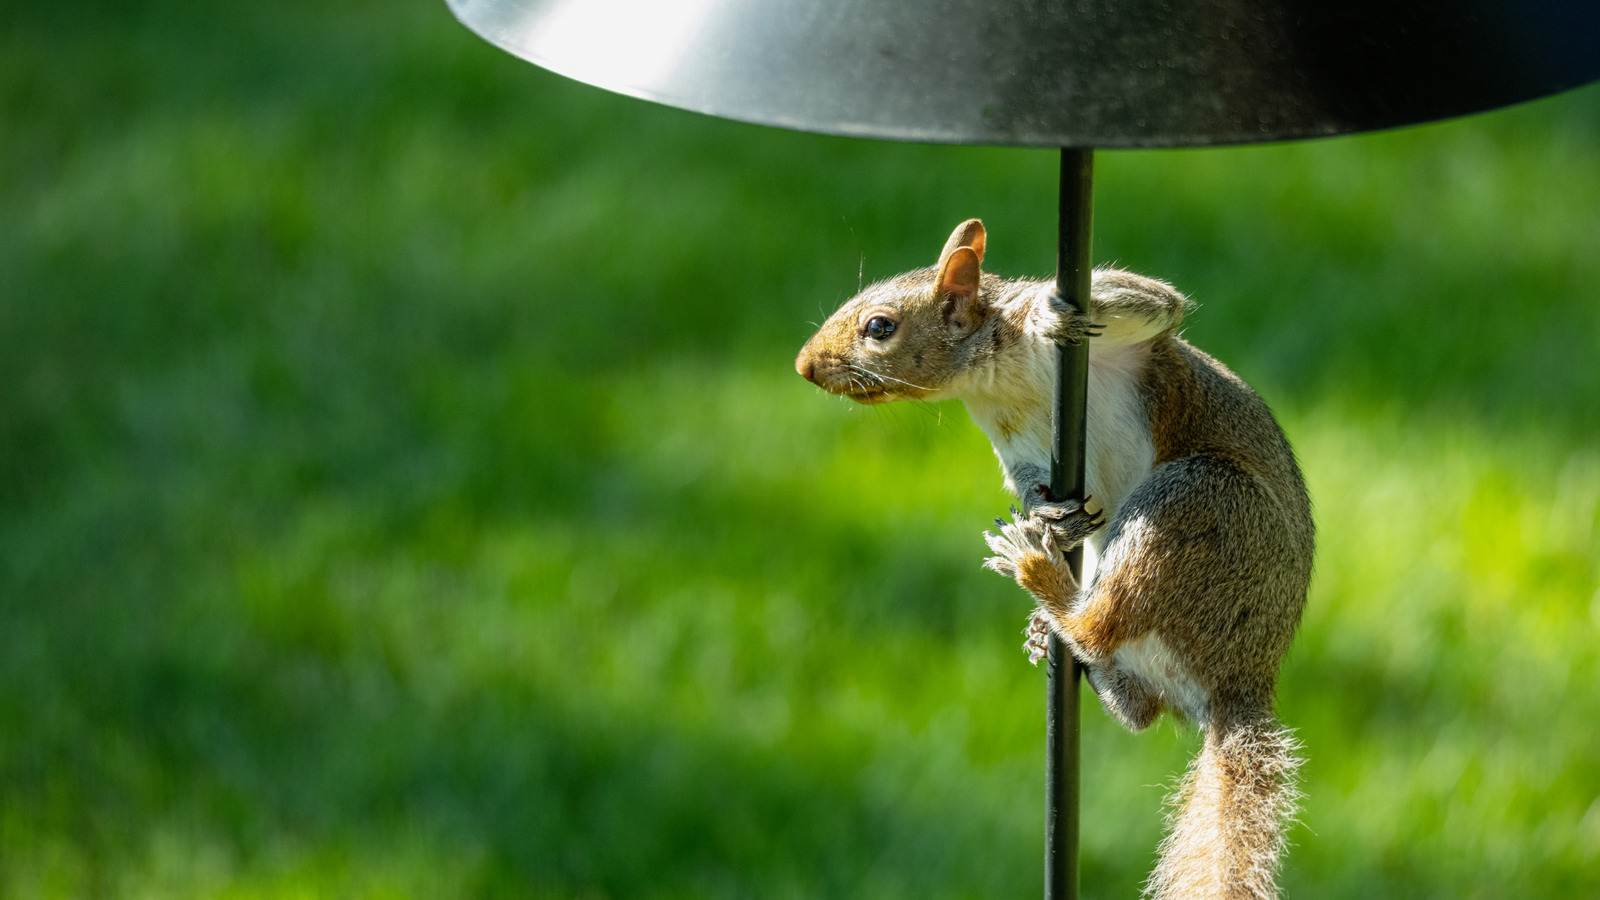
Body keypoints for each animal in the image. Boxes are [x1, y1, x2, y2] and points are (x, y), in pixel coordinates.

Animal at [795, 219, 1314, 900]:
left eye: (880, 327)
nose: (804, 366)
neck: (997, 380)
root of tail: (1242, 682)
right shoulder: (1015, 442)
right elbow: (1030, 481)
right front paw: (1046, 511)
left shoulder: (1127, 340)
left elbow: (1156, 301)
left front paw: (1048, 315)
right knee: (1139, 702)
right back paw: (1063, 639)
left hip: (1198, 503)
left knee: (1102, 623)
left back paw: (1040, 578)